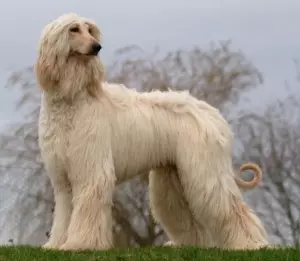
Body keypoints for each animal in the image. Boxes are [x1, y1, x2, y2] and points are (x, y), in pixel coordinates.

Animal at [35, 12, 270, 250]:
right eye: (73, 29)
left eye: (90, 30)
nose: (96, 47)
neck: (72, 99)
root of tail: (214, 115)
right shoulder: (62, 175)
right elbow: (64, 212)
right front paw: (55, 244)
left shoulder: (91, 168)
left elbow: (86, 206)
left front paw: (80, 244)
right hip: (173, 174)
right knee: (183, 213)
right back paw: (186, 244)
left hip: (205, 169)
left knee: (231, 208)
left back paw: (252, 243)